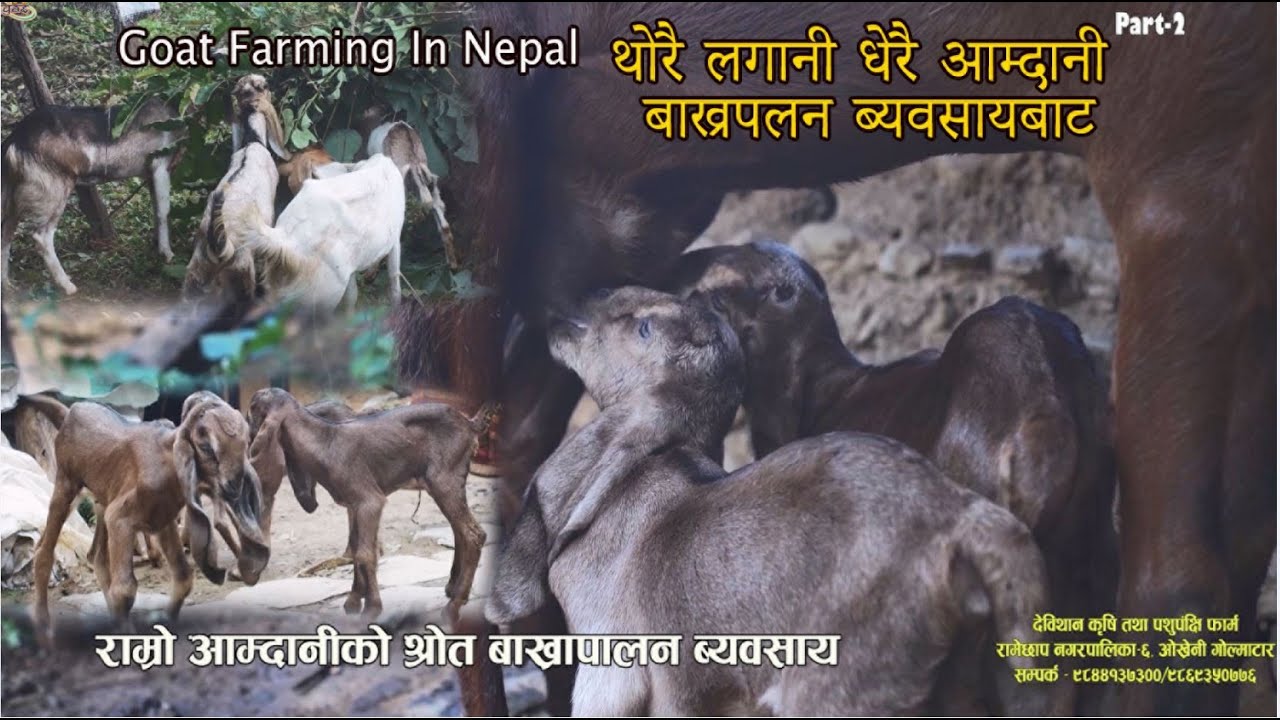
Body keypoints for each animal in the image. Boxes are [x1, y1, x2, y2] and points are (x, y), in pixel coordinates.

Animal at [1, 98, 180, 295]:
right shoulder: (160, 164)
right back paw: (68, 286)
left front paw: (155, 246)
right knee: (41, 236)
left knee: (5, 234)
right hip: (53, 190)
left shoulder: (148, 174)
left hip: (13, 197)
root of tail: (14, 142)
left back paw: (7, 285)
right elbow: (164, 211)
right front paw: (168, 254)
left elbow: (155, 206)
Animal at [21, 391, 269, 642]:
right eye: (206, 447)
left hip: (101, 501)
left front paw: (166, 621)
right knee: (43, 553)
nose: (233, 487)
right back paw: (44, 628)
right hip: (66, 485)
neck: (167, 463)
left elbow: (183, 577)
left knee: (95, 555)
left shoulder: (163, 520)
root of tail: (68, 413)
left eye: (246, 442)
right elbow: (124, 589)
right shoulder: (120, 518)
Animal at [247, 388, 486, 620]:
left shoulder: (370, 500)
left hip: (444, 482)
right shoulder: (353, 505)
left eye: (251, 412)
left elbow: (365, 553)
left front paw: (372, 607)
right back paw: (453, 589)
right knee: (461, 532)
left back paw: (454, 605)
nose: (248, 440)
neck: (327, 442)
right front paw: (353, 601)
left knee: (474, 535)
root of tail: (470, 424)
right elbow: (355, 550)